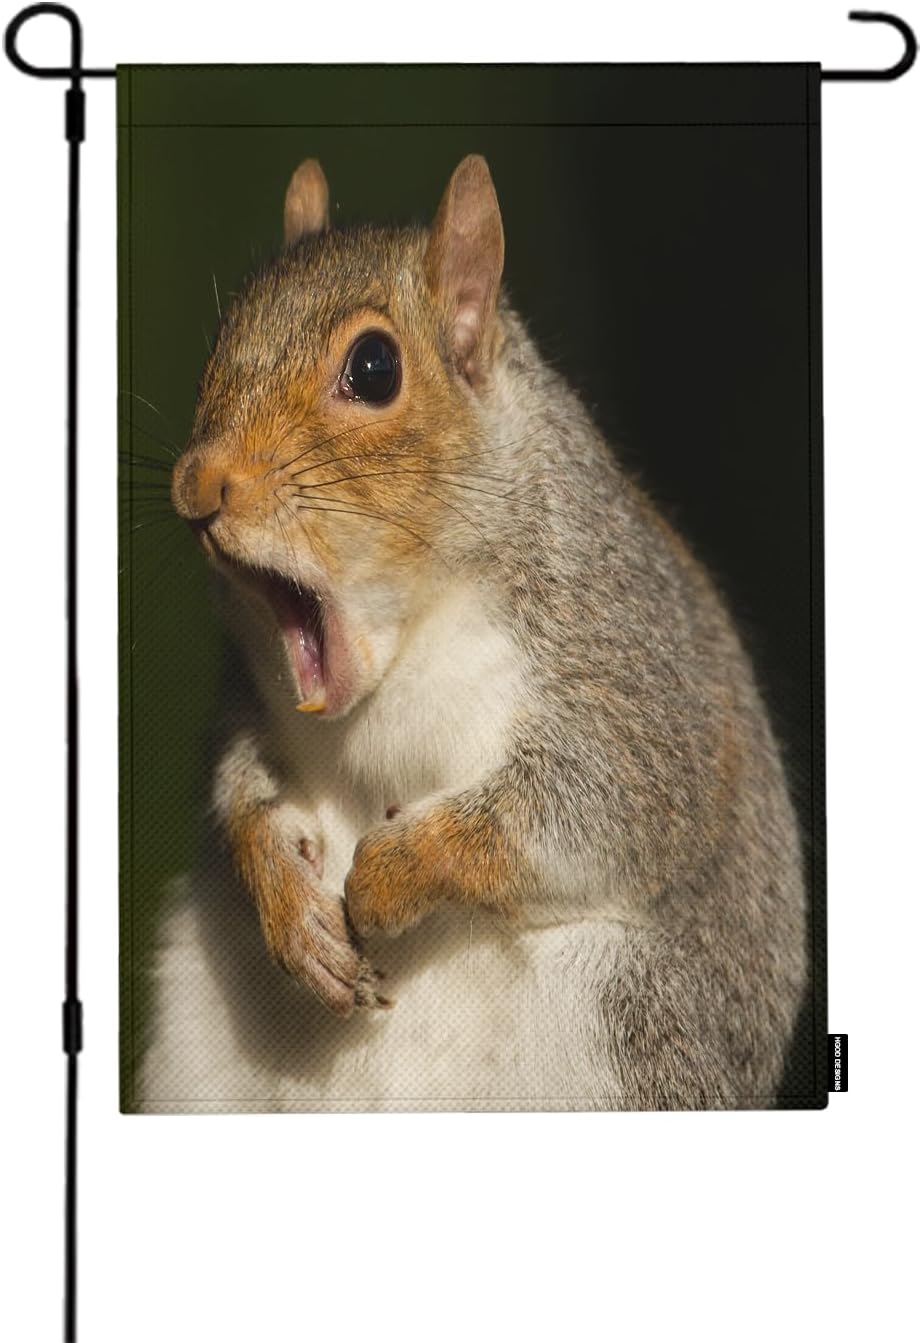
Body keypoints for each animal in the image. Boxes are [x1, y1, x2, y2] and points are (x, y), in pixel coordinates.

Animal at [143, 154, 807, 1111]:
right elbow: (241, 787)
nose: (198, 483)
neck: (404, 646)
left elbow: (586, 810)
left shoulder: (629, 676)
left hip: (625, 1025)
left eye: (375, 366)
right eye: (224, 336)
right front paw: (289, 902)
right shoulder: (249, 694)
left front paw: (389, 876)